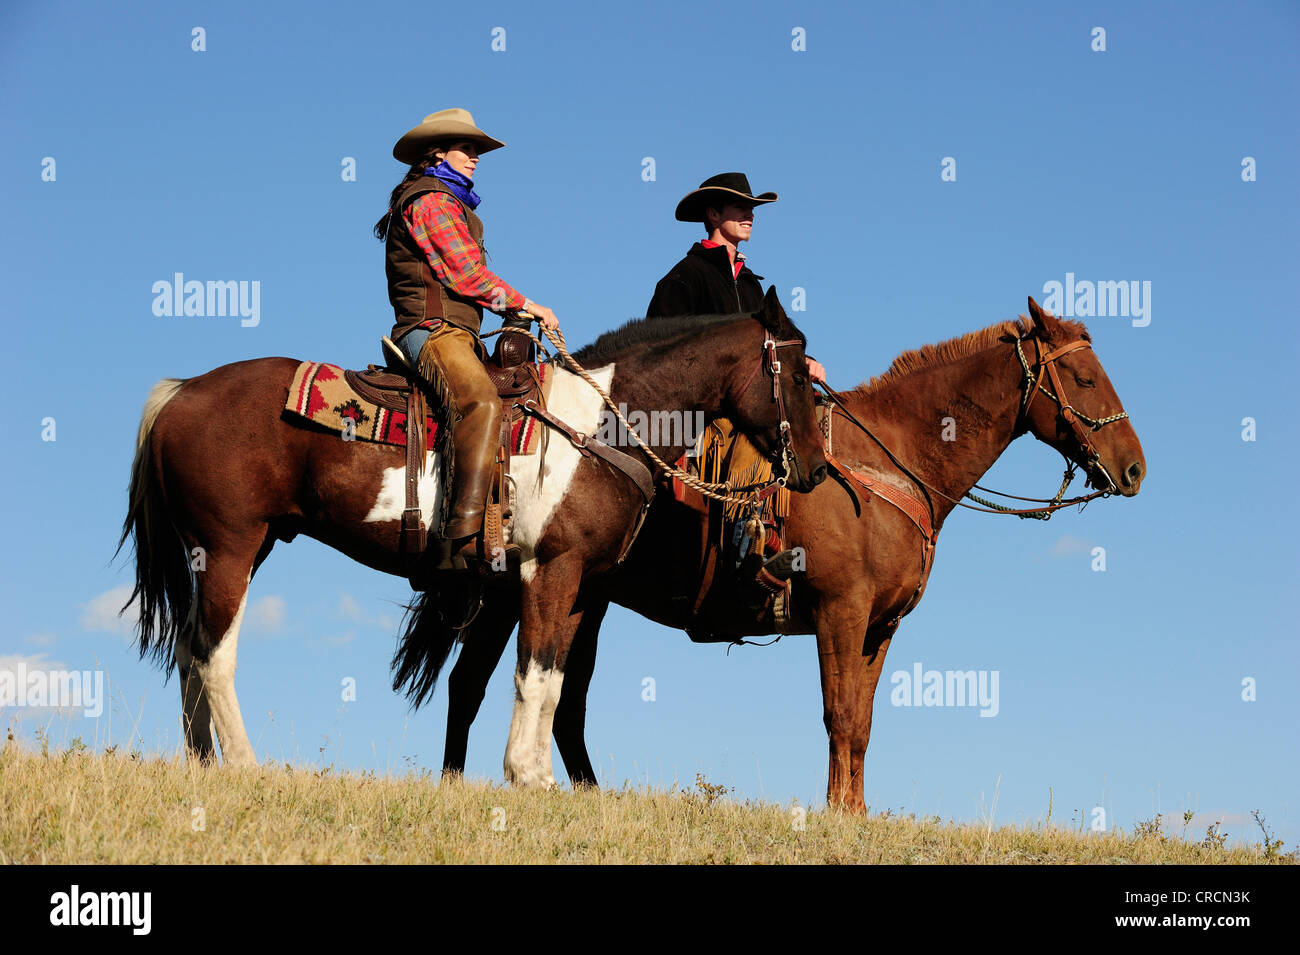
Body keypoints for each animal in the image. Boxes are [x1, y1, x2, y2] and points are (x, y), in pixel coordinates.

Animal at [118, 289, 828, 788]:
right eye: (797, 374)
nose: (817, 471)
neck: (597, 425)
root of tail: (180, 393)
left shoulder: (575, 586)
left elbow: (554, 677)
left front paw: (537, 775)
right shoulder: (548, 570)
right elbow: (534, 676)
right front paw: (527, 775)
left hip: (232, 549)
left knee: (187, 652)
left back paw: (202, 764)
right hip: (232, 547)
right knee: (214, 653)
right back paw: (243, 764)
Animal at [392, 297, 1146, 810]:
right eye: (1084, 379)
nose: (1134, 468)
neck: (888, 466)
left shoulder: (880, 628)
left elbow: (862, 722)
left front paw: (856, 813)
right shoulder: (841, 613)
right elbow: (839, 714)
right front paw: (838, 814)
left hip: (573, 595)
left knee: (532, 695)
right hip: (527, 588)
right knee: (486, 685)